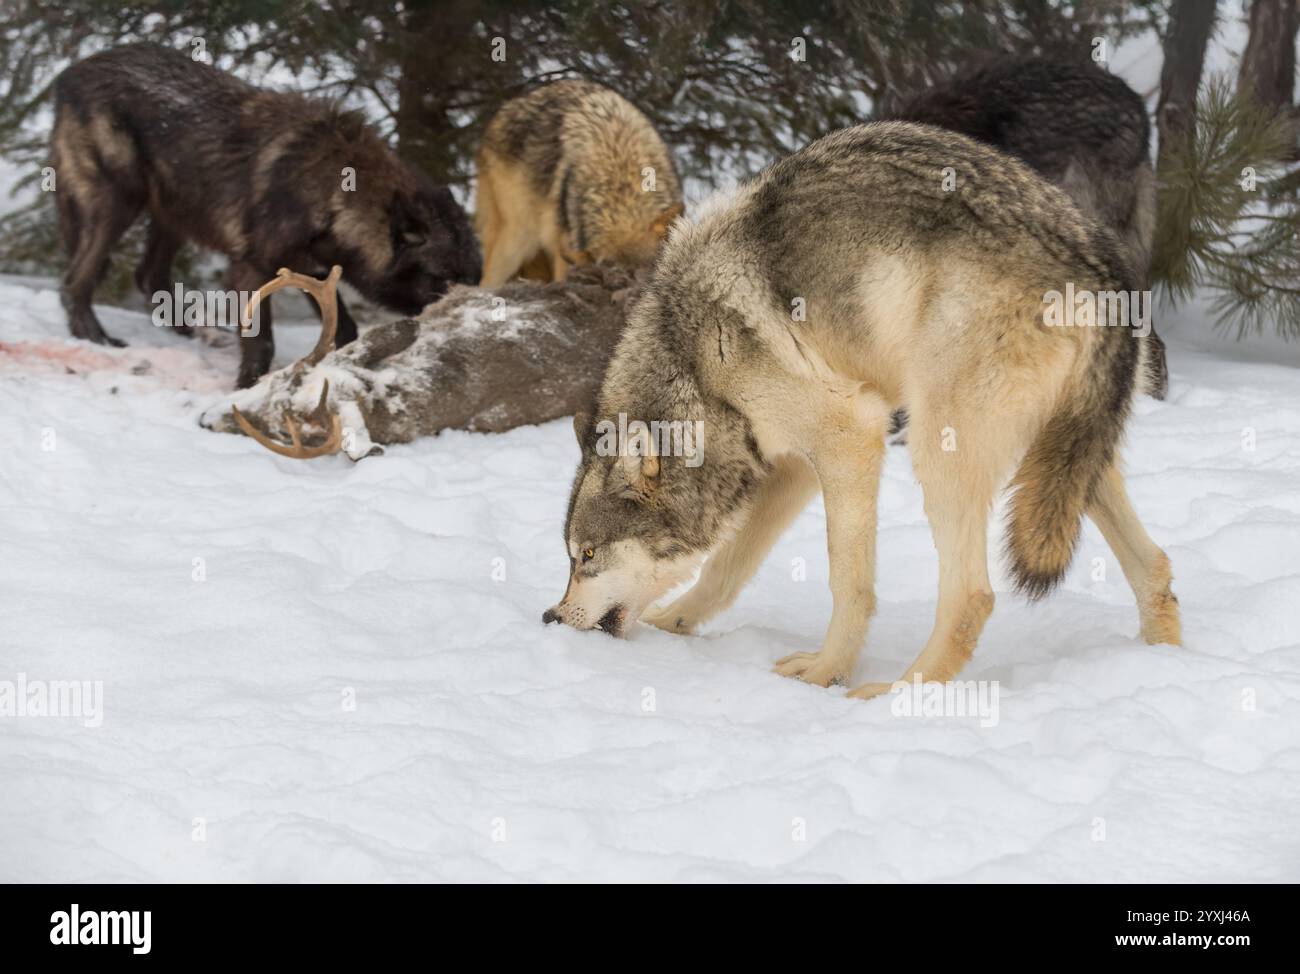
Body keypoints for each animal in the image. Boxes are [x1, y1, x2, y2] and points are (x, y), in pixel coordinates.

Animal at [51, 43, 481, 387]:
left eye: (473, 281)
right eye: (445, 281)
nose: (469, 329)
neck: (336, 193)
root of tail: (69, 73)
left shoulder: (313, 270)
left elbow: (346, 328)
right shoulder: (250, 271)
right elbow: (263, 341)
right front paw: (246, 388)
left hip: (176, 213)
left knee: (147, 276)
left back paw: (193, 334)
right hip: (118, 204)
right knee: (75, 282)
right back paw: (98, 340)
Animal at [542, 122, 1181, 698]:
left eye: (587, 555)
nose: (551, 617)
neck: (694, 362)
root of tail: (1098, 266)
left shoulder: (849, 437)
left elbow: (846, 581)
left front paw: (826, 672)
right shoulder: (789, 466)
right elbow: (727, 565)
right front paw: (671, 625)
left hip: (938, 447)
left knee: (973, 597)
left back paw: (898, 693)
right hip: (1061, 465)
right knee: (1155, 563)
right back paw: (1163, 664)